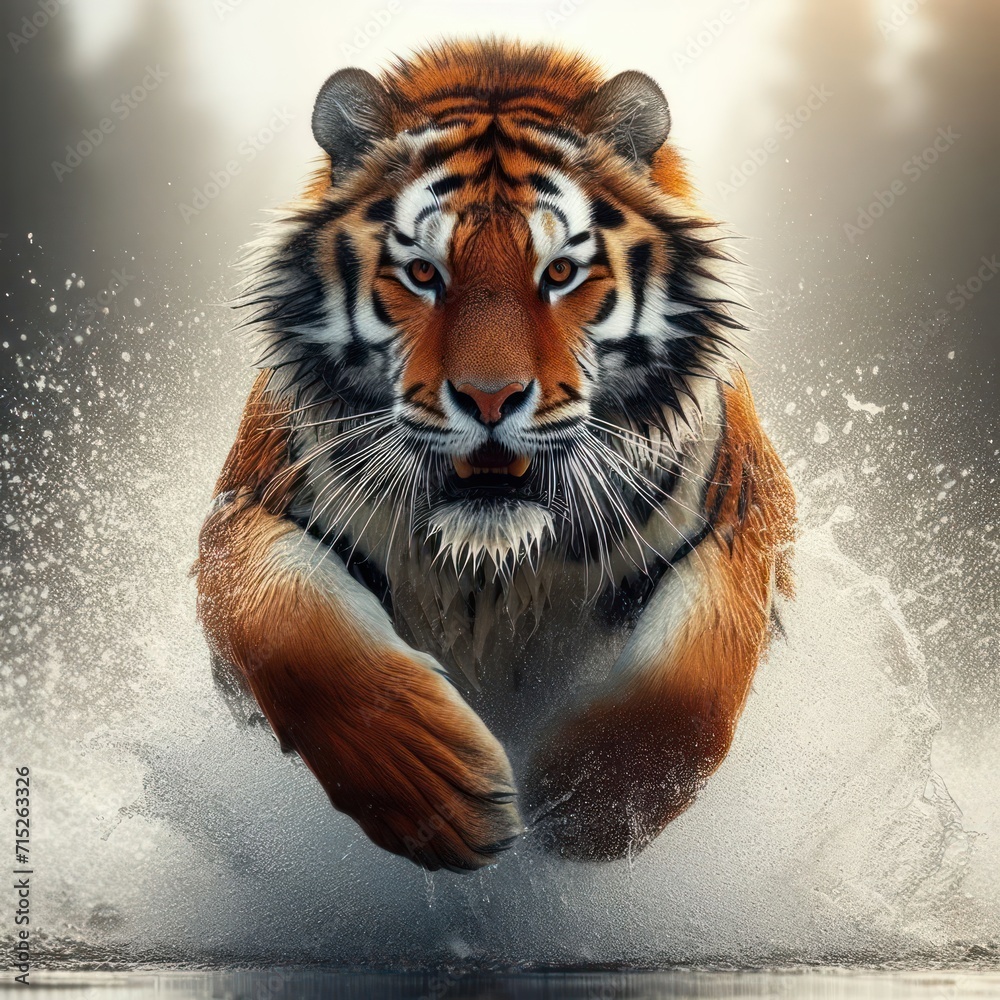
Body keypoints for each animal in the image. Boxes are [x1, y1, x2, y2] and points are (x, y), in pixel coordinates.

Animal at [195, 38, 797, 873]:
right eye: (423, 273)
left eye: (560, 273)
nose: (489, 399)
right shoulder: (247, 509)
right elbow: (291, 627)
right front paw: (433, 796)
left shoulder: (742, 520)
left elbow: (693, 681)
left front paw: (585, 807)